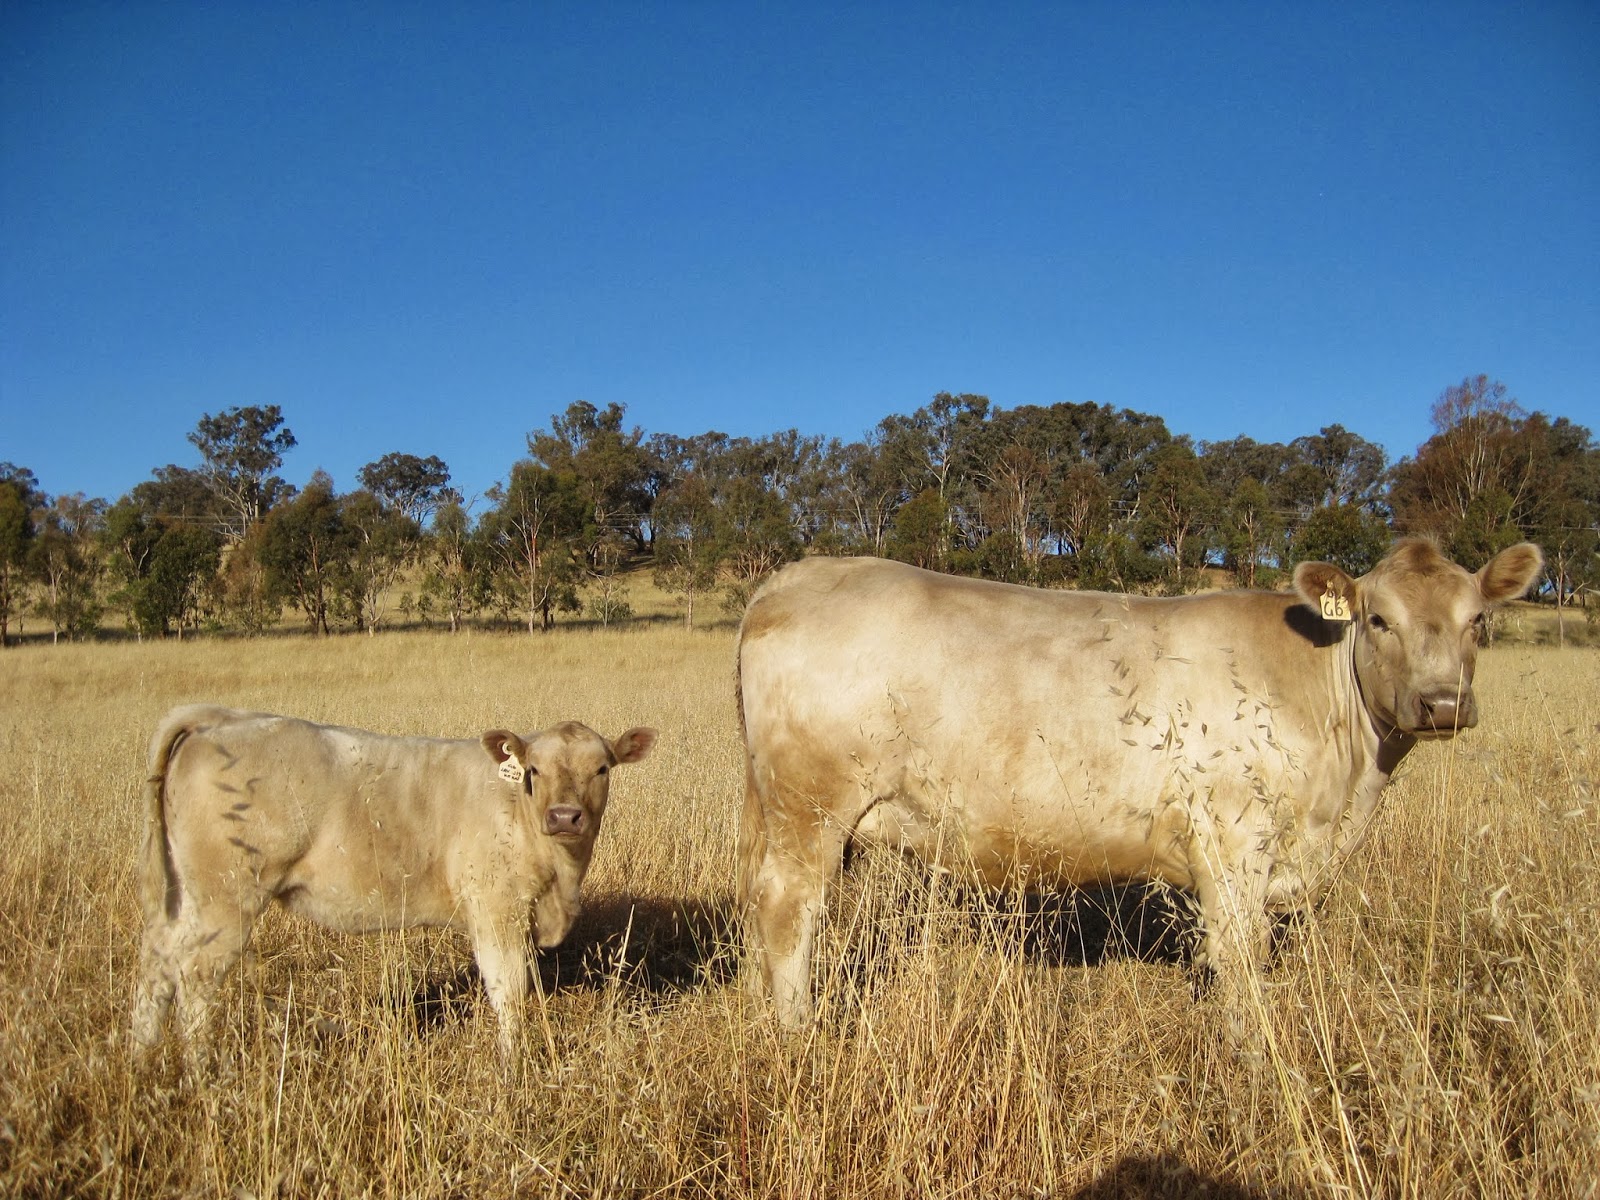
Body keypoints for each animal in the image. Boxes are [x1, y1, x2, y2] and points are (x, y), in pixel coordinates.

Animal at [131, 705, 656, 1070]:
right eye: (534, 770)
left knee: (157, 962)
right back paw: (203, 1074)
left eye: (601, 768)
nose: (565, 816)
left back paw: (140, 1054)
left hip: (186, 899)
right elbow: (508, 990)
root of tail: (223, 718)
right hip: (225, 900)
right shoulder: (495, 910)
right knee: (195, 976)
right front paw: (513, 1067)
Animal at [736, 539, 1543, 1028]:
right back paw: (797, 1030)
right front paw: (1251, 1060)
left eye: (1478, 620)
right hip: (811, 806)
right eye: (1379, 619)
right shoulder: (1233, 842)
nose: (1442, 703)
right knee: (788, 911)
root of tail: (798, 574)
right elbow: (1241, 956)